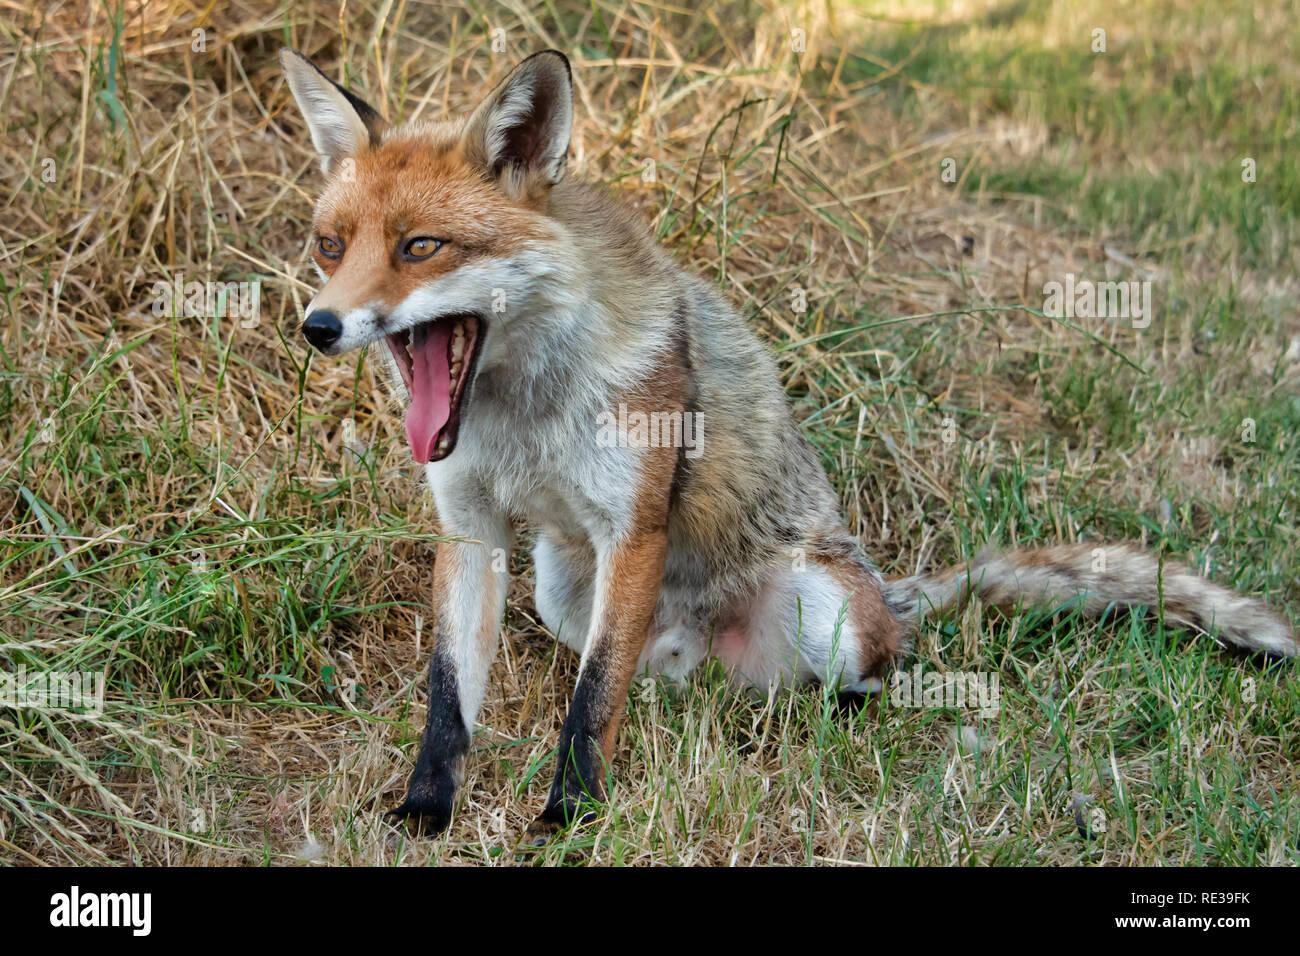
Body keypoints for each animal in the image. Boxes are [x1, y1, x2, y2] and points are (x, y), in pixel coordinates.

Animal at [279, 47, 1297, 844]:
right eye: (331, 245)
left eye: (420, 247)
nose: (318, 327)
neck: (523, 412)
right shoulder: (471, 524)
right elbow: (453, 696)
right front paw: (426, 809)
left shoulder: (633, 525)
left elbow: (590, 701)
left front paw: (570, 815)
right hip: (565, 589)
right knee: (655, 675)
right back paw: (686, 702)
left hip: (823, 608)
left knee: (865, 669)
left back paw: (843, 711)